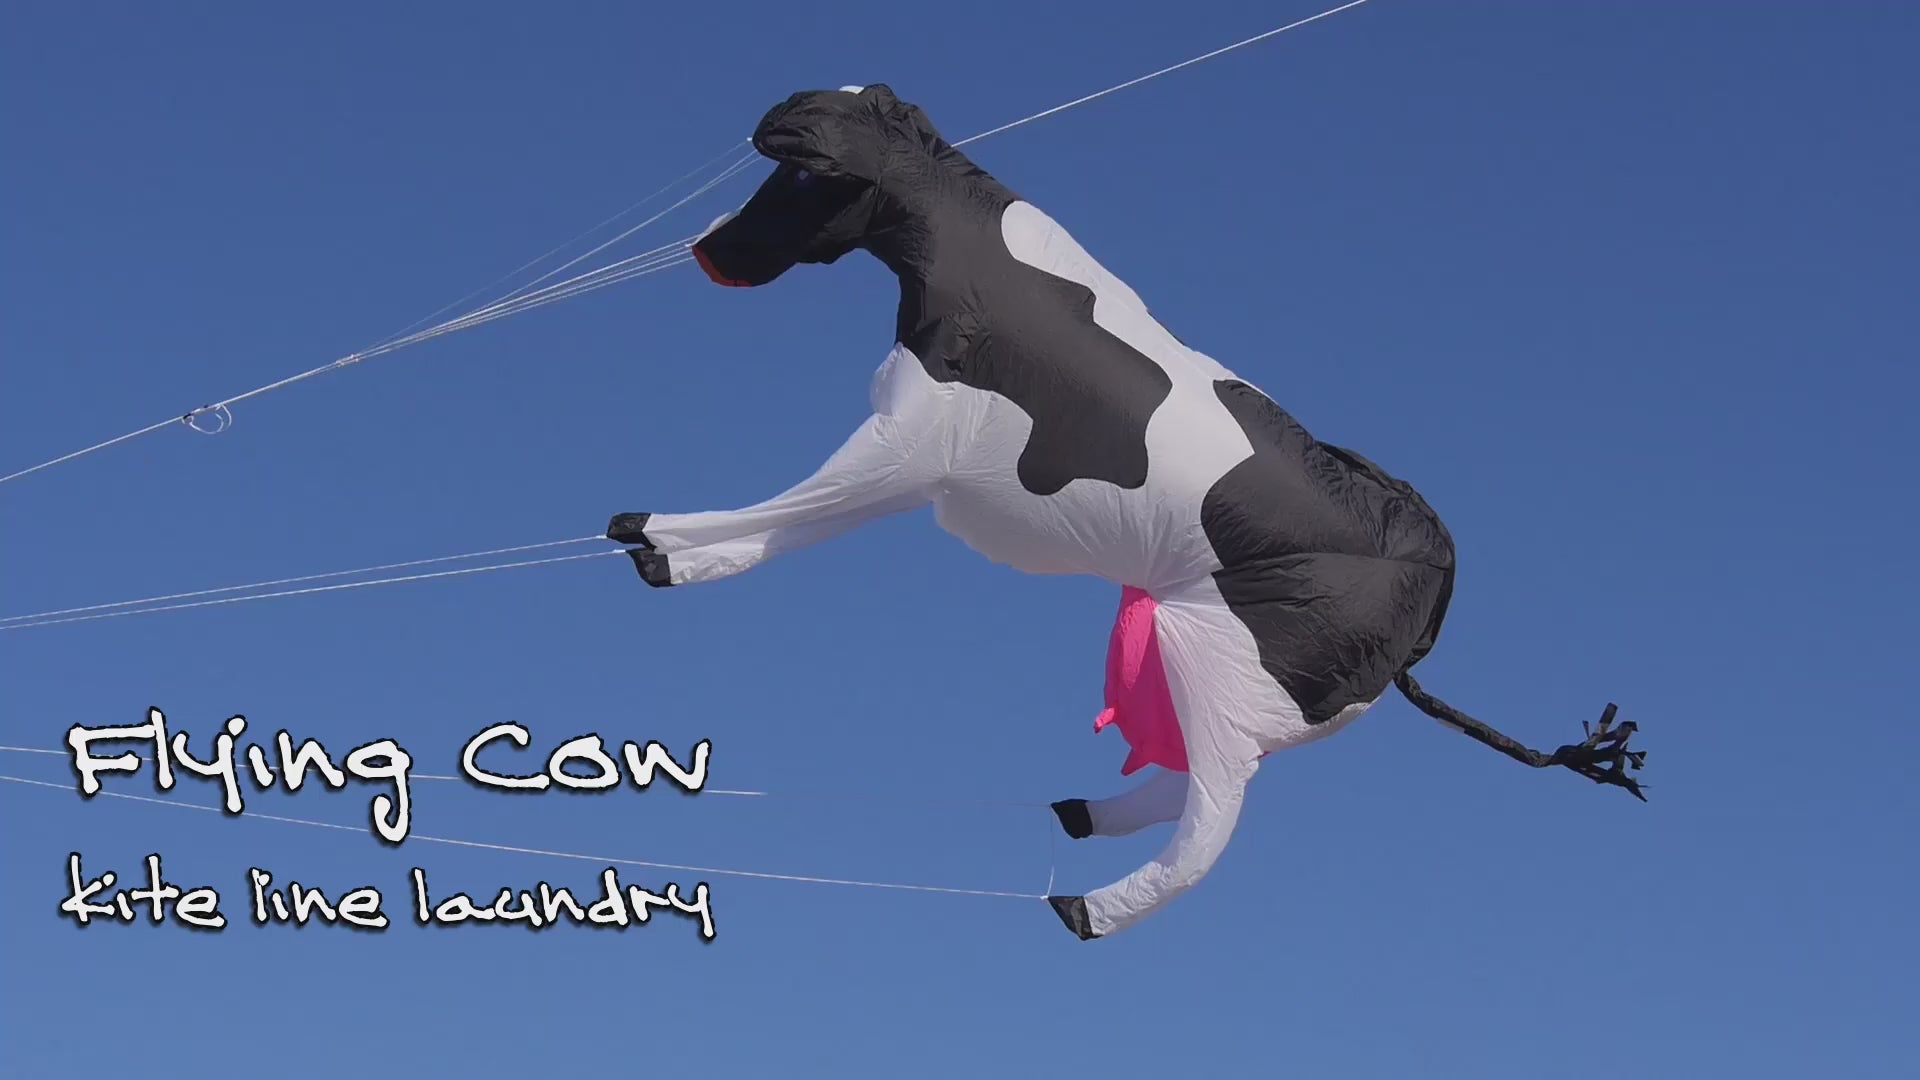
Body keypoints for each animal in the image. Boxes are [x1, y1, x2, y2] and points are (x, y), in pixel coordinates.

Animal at [606, 84, 1645, 941]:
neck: (975, 254)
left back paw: (1090, 906)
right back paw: (1084, 817)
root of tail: (1437, 565)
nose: (703, 248)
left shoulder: (915, 442)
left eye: (796, 169)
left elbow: (804, 503)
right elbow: (802, 520)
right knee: (1198, 774)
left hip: (1223, 653)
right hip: (1263, 677)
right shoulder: (913, 452)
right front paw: (667, 548)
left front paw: (659, 542)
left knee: (1216, 812)